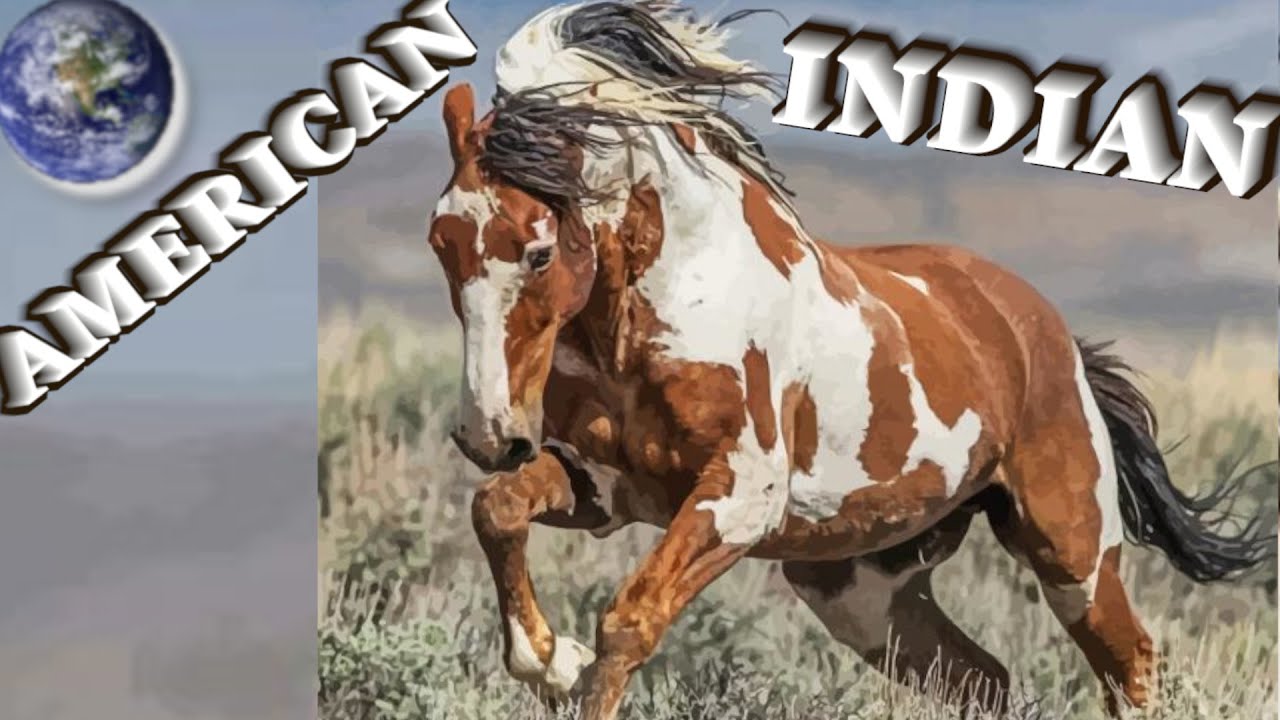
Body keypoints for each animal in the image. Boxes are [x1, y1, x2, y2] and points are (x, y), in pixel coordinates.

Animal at [424, 3, 1273, 718]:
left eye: (537, 251)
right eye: (441, 243)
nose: (487, 434)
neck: (649, 312)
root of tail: (1049, 335)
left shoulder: (740, 497)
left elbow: (628, 620)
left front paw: (565, 665)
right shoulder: (605, 486)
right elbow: (496, 510)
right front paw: (548, 661)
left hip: (1073, 552)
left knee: (1130, 662)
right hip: (862, 588)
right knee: (980, 678)